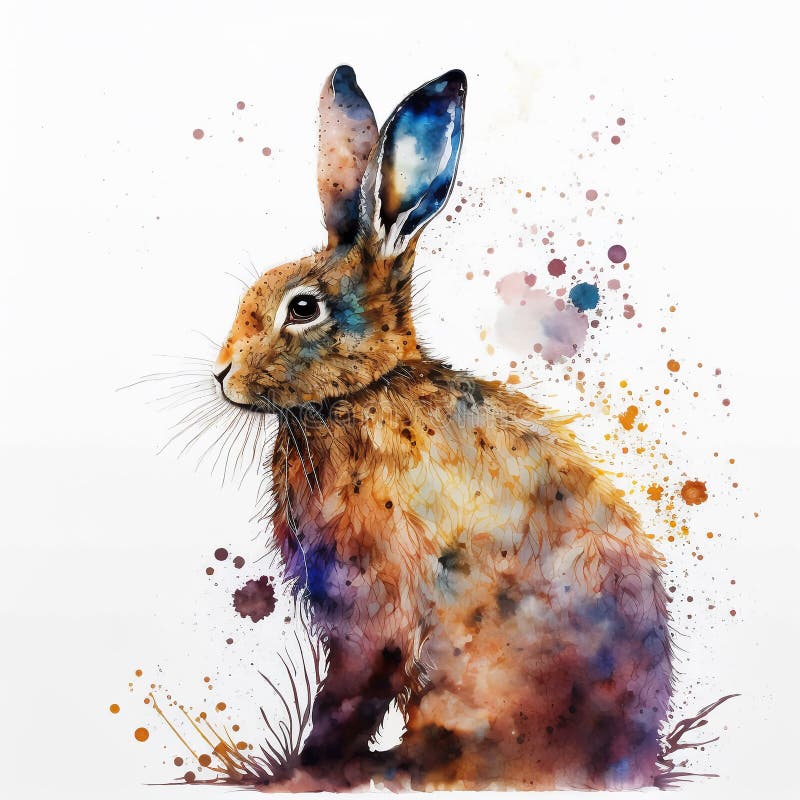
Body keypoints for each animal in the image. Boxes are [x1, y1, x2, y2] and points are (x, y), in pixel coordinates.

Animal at [212, 65, 673, 791]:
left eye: (303, 308)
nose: (222, 374)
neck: (361, 393)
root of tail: (631, 751)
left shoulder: (373, 605)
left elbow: (352, 691)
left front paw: (310, 768)